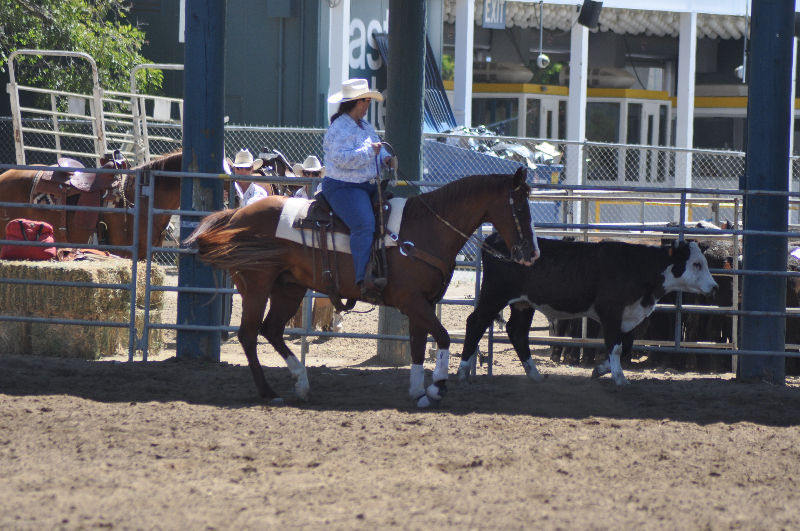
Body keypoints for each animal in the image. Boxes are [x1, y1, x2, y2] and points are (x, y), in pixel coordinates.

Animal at [184, 166, 539, 407]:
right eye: (522, 208)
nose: (532, 254)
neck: (427, 228)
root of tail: (236, 215)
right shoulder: (412, 301)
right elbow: (441, 337)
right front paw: (437, 387)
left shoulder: (421, 303)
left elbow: (418, 345)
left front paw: (417, 391)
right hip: (257, 284)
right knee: (248, 334)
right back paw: (268, 392)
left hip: (288, 288)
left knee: (271, 330)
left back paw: (301, 382)